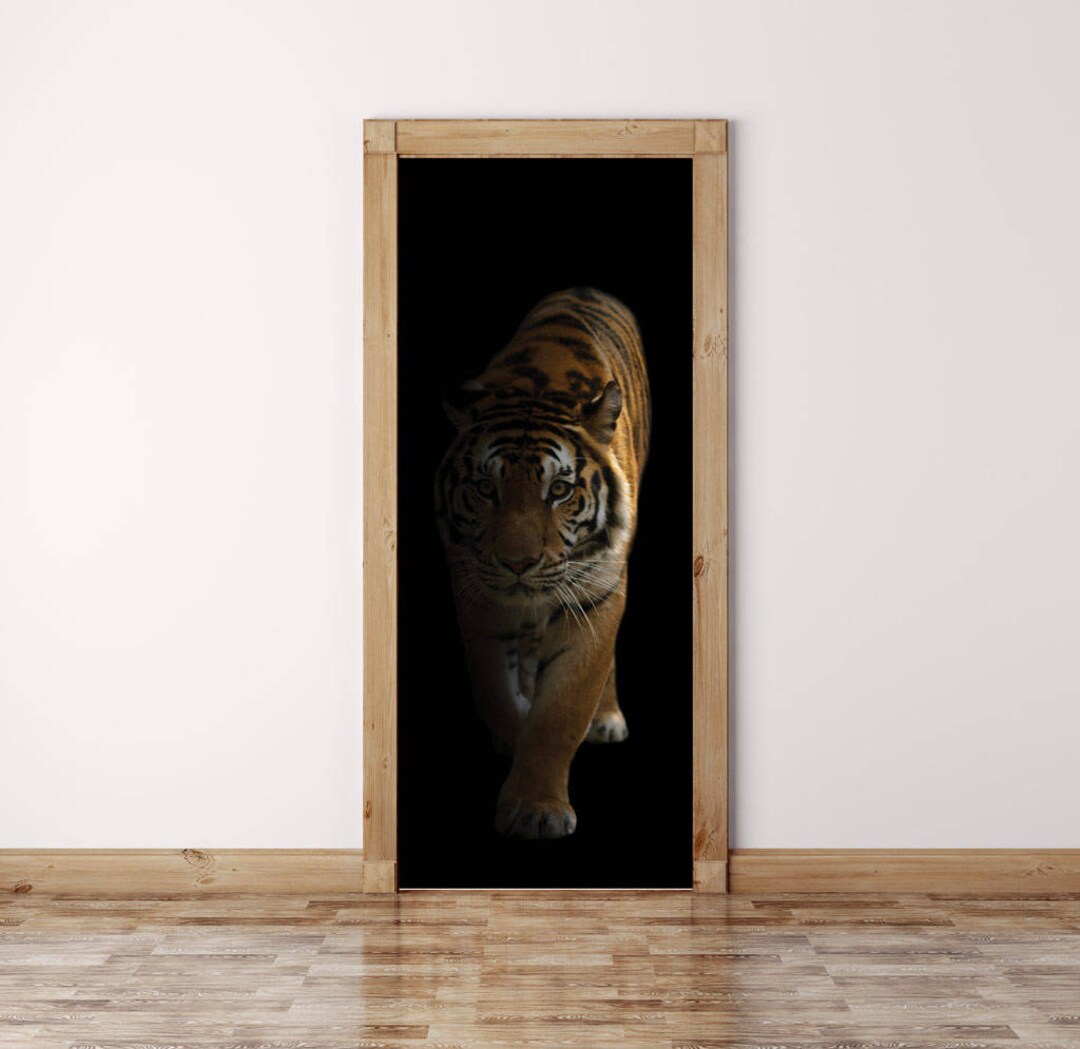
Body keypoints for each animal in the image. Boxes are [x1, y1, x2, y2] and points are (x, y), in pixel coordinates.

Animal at [435, 286, 650, 839]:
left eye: (559, 490)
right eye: (485, 487)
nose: (519, 562)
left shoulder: (596, 596)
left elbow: (560, 714)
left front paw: (536, 808)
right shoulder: (474, 592)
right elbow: (494, 687)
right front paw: (513, 738)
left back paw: (607, 718)